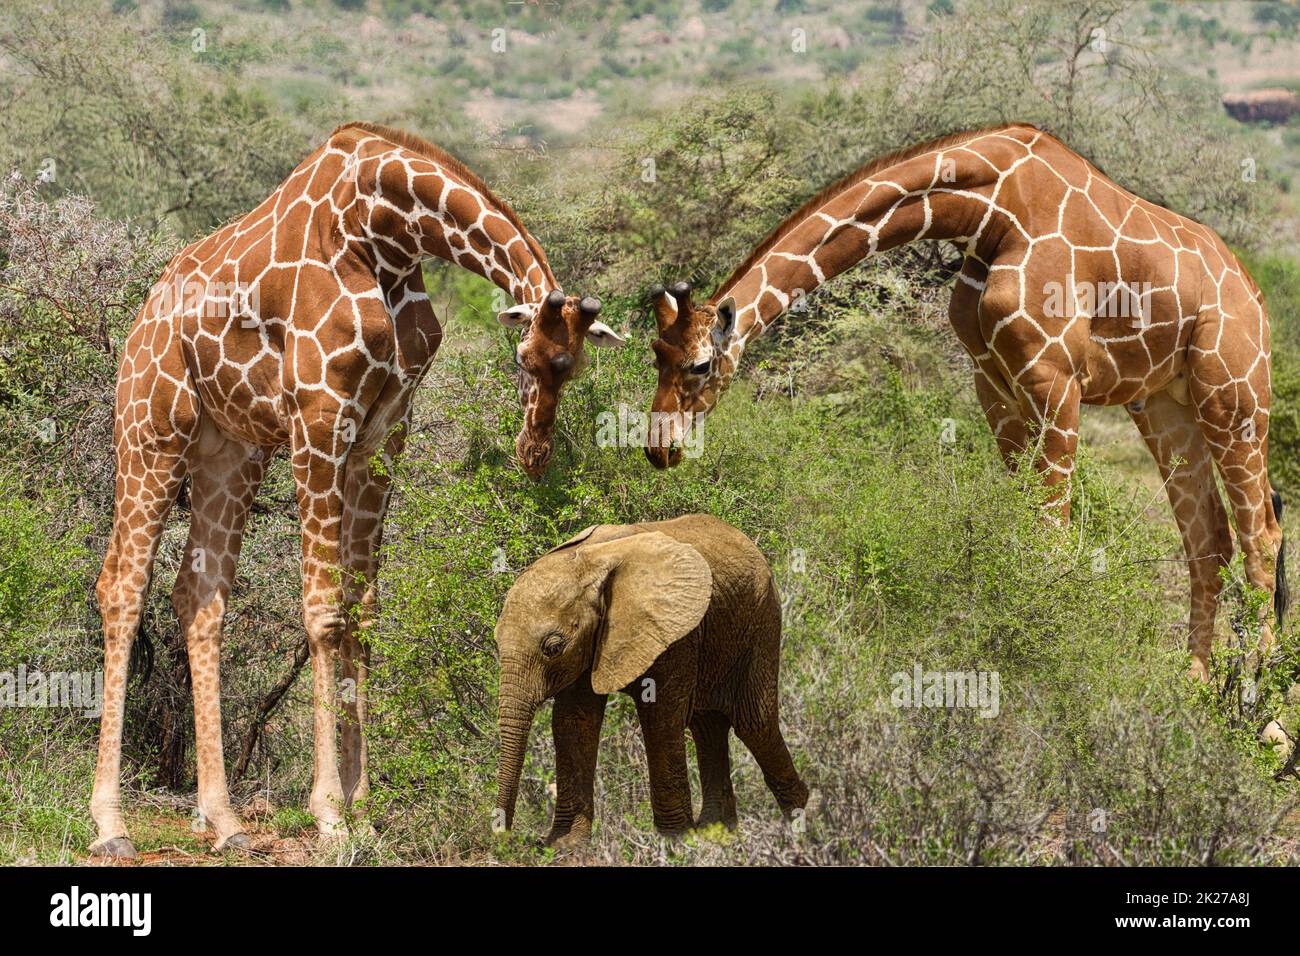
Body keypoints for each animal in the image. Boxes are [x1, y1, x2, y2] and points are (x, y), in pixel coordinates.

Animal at [89, 122, 624, 859]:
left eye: (571, 368)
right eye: (524, 359)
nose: (534, 454)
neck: (387, 234)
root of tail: (140, 317)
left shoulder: (383, 432)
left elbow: (363, 614)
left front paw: (364, 810)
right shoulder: (320, 415)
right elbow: (323, 611)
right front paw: (330, 815)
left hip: (231, 453)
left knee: (199, 596)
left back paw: (224, 821)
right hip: (151, 432)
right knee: (121, 585)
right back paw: (110, 823)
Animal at [645, 123, 1284, 682]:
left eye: (700, 365)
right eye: (655, 354)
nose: (658, 448)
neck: (989, 213)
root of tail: (1254, 294)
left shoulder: (1055, 377)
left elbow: (1054, 540)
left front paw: (1056, 653)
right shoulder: (993, 381)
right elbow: (1025, 529)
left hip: (1234, 394)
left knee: (1263, 536)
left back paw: (1258, 696)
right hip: (1163, 403)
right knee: (1209, 542)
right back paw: (1194, 687)